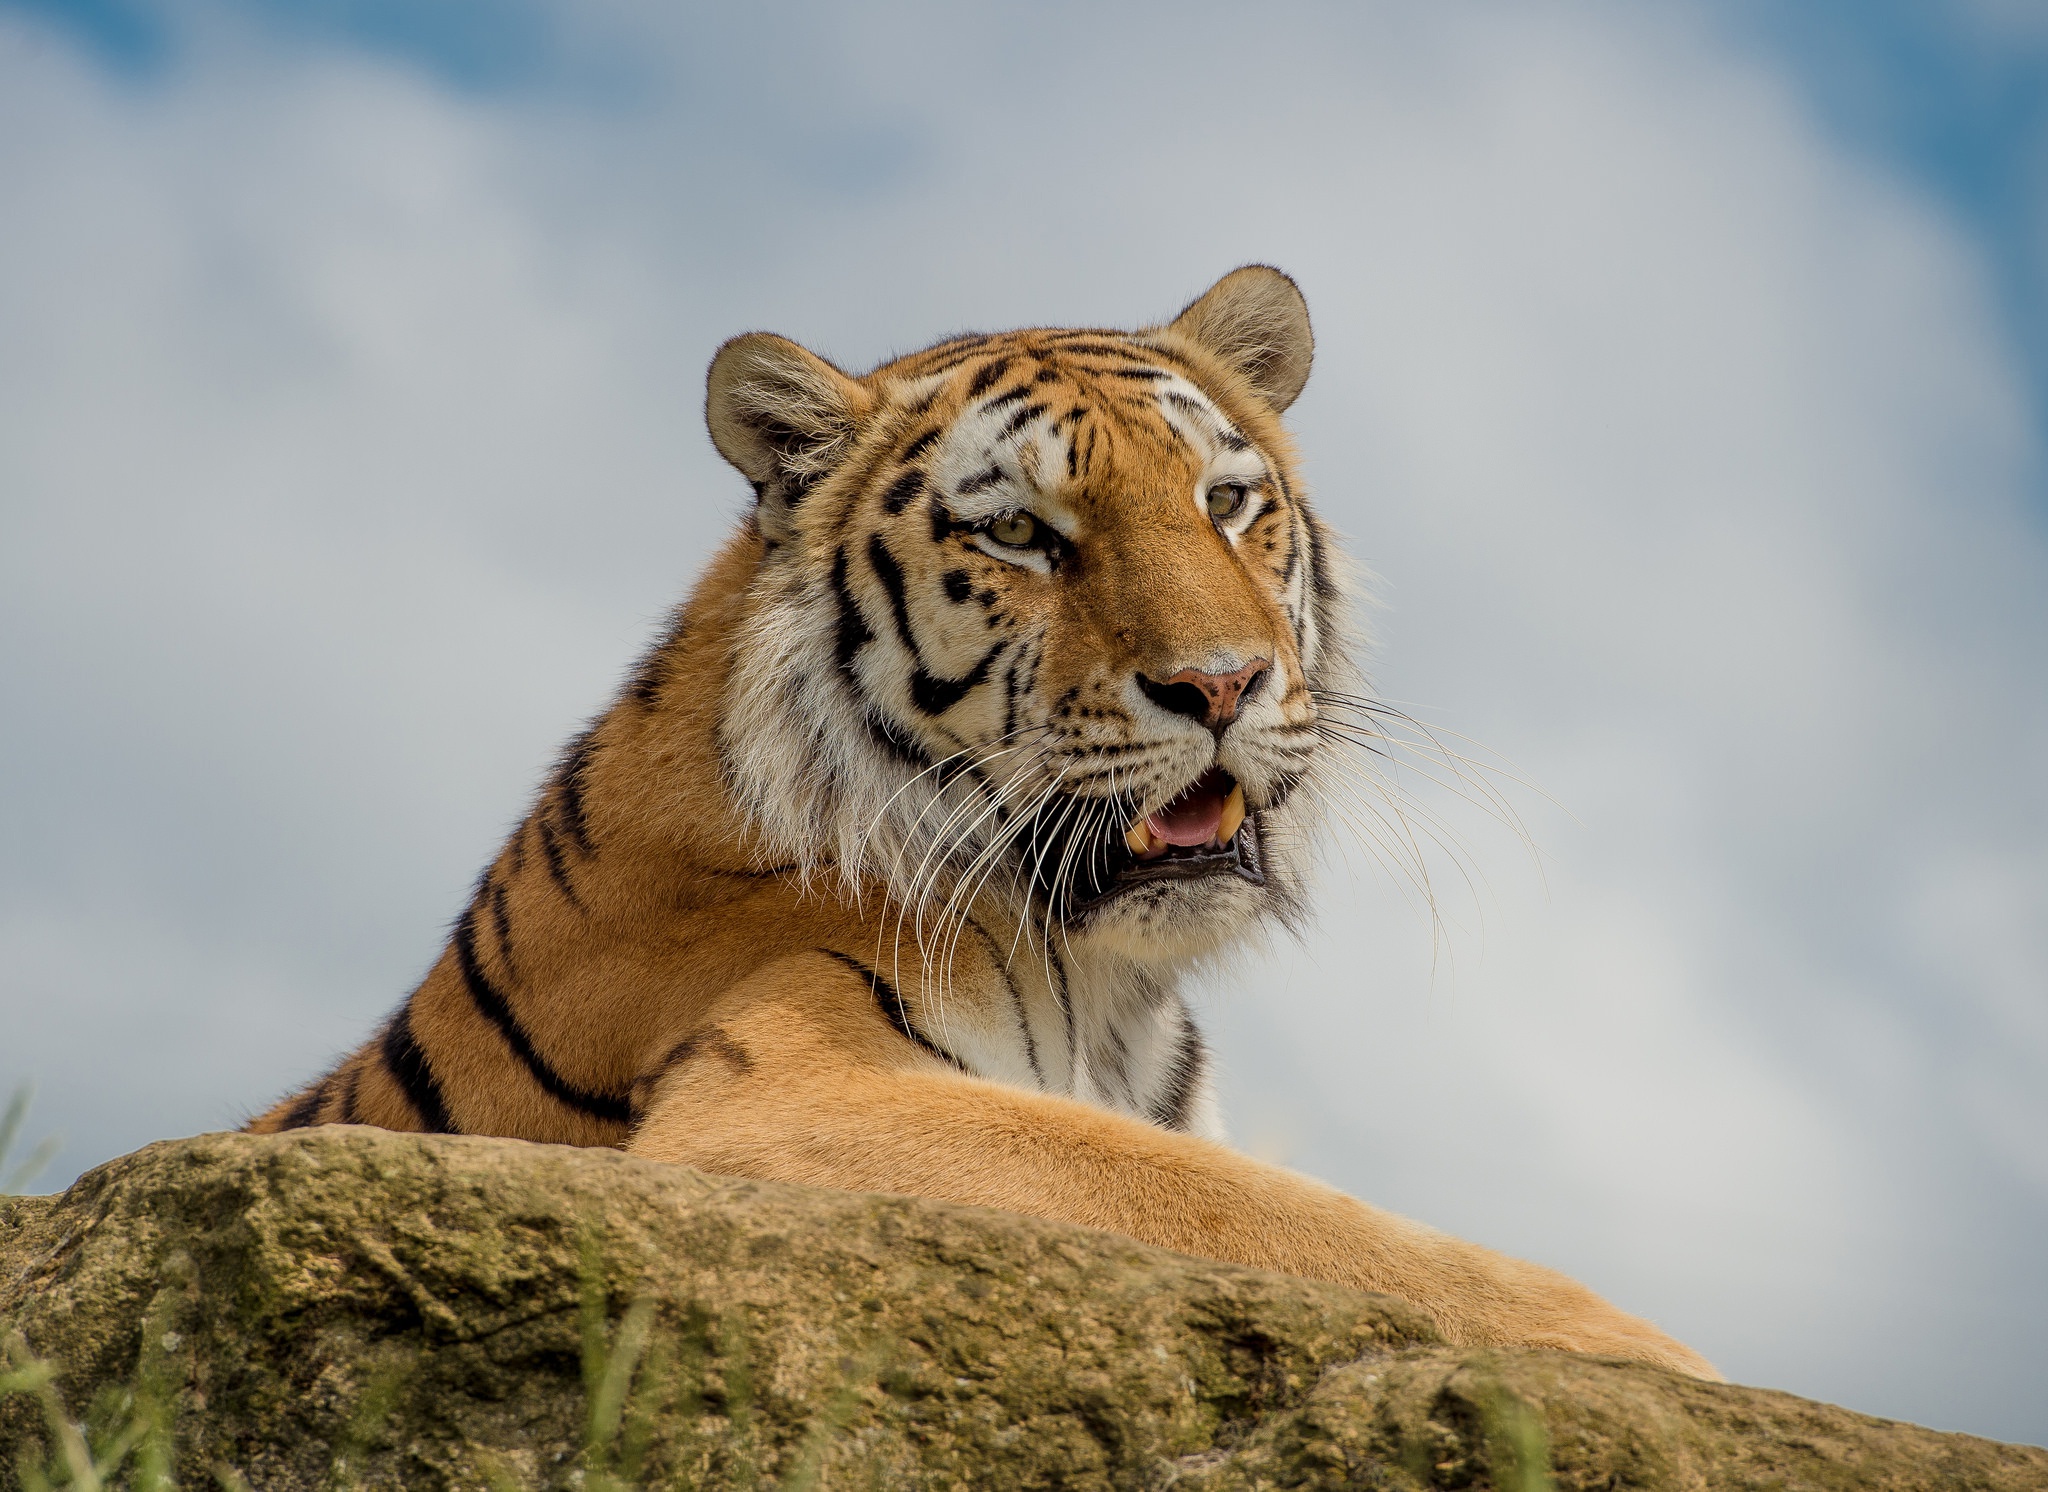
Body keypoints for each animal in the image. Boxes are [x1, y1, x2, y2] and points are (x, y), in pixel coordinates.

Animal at [249, 266, 1718, 1379]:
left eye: (1223, 501)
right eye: (1019, 533)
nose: (1220, 684)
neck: (1113, 985)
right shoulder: (777, 1095)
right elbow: (1231, 1204)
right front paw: (1651, 1351)